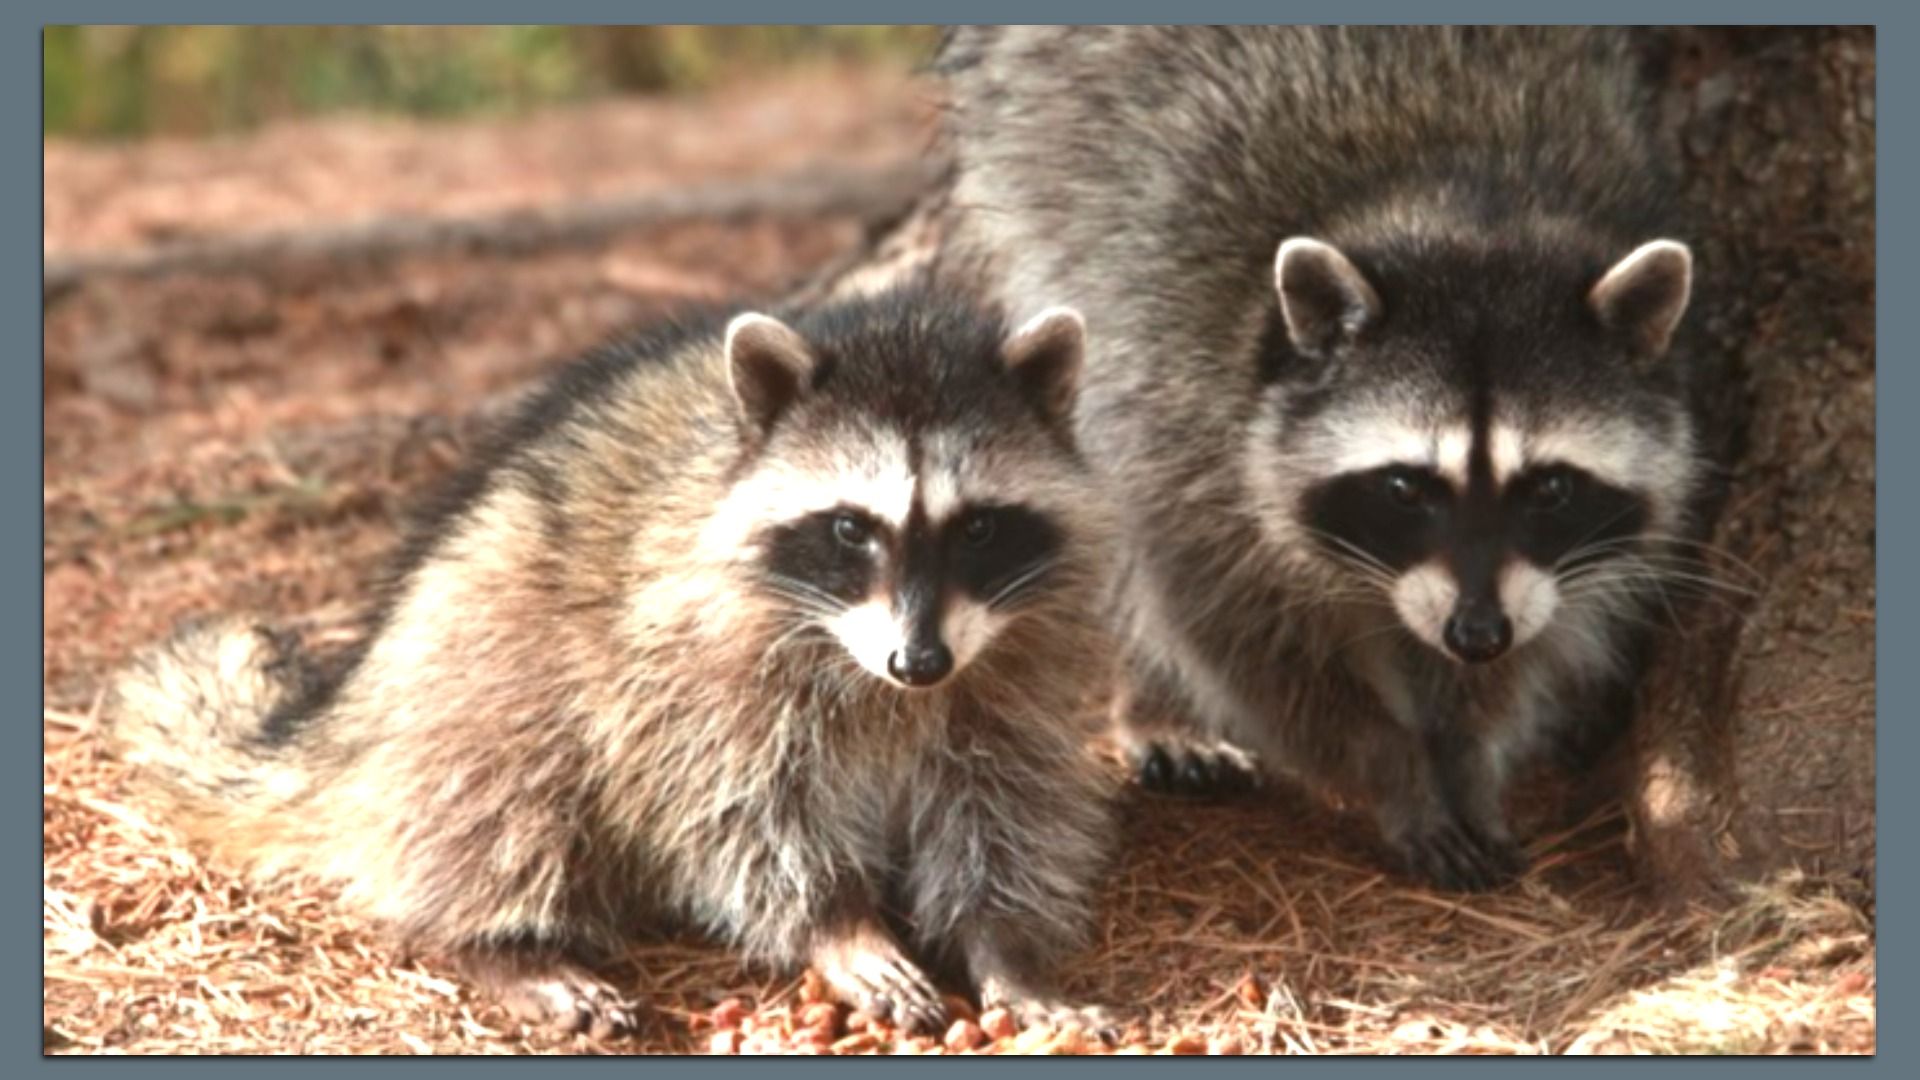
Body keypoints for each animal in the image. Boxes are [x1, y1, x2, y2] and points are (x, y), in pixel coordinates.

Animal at [104, 284, 1123, 1037]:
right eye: (849, 529)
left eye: (978, 527)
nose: (919, 660)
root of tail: (359, 703)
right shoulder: (687, 657)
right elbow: (738, 808)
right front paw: (840, 925)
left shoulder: (1012, 658)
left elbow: (1001, 801)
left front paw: (1003, 948)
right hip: (476, 649)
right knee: (506, 792)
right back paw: (498, 941)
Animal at [937, 27, 1715, 890]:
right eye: (1407, 487)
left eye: (1549, 487)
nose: (1477, 633)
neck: (1463, 209)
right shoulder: (1182, 407)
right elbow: (1240, 636)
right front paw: (1396, 769)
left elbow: (1529, 646)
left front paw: (1471, 755)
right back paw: (1154, 695)